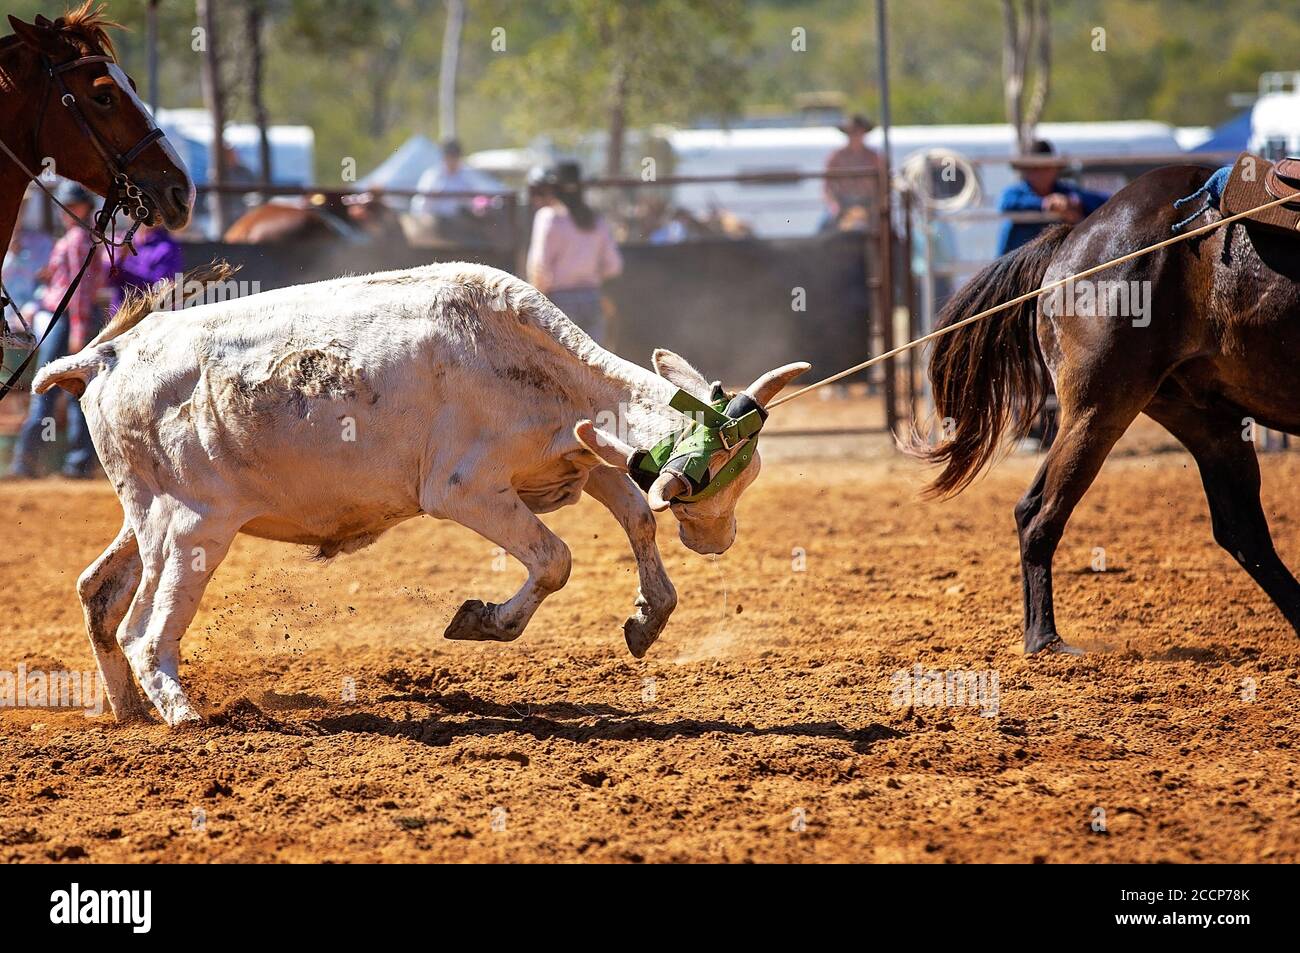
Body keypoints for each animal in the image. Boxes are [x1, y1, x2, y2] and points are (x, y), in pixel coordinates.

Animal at [34, 262, 809, 726]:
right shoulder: (466, 490)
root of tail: (104, 356)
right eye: (717, 480)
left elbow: (636, 519)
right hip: (191, 527)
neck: (524, 358)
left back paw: (129, 711)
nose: (720, 539)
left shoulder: (583, 459)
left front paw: (649, 616)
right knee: (144, 628)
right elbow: (554, 560)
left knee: (99, 593)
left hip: (147, 518)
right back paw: (183, 715)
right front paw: (483, 619)